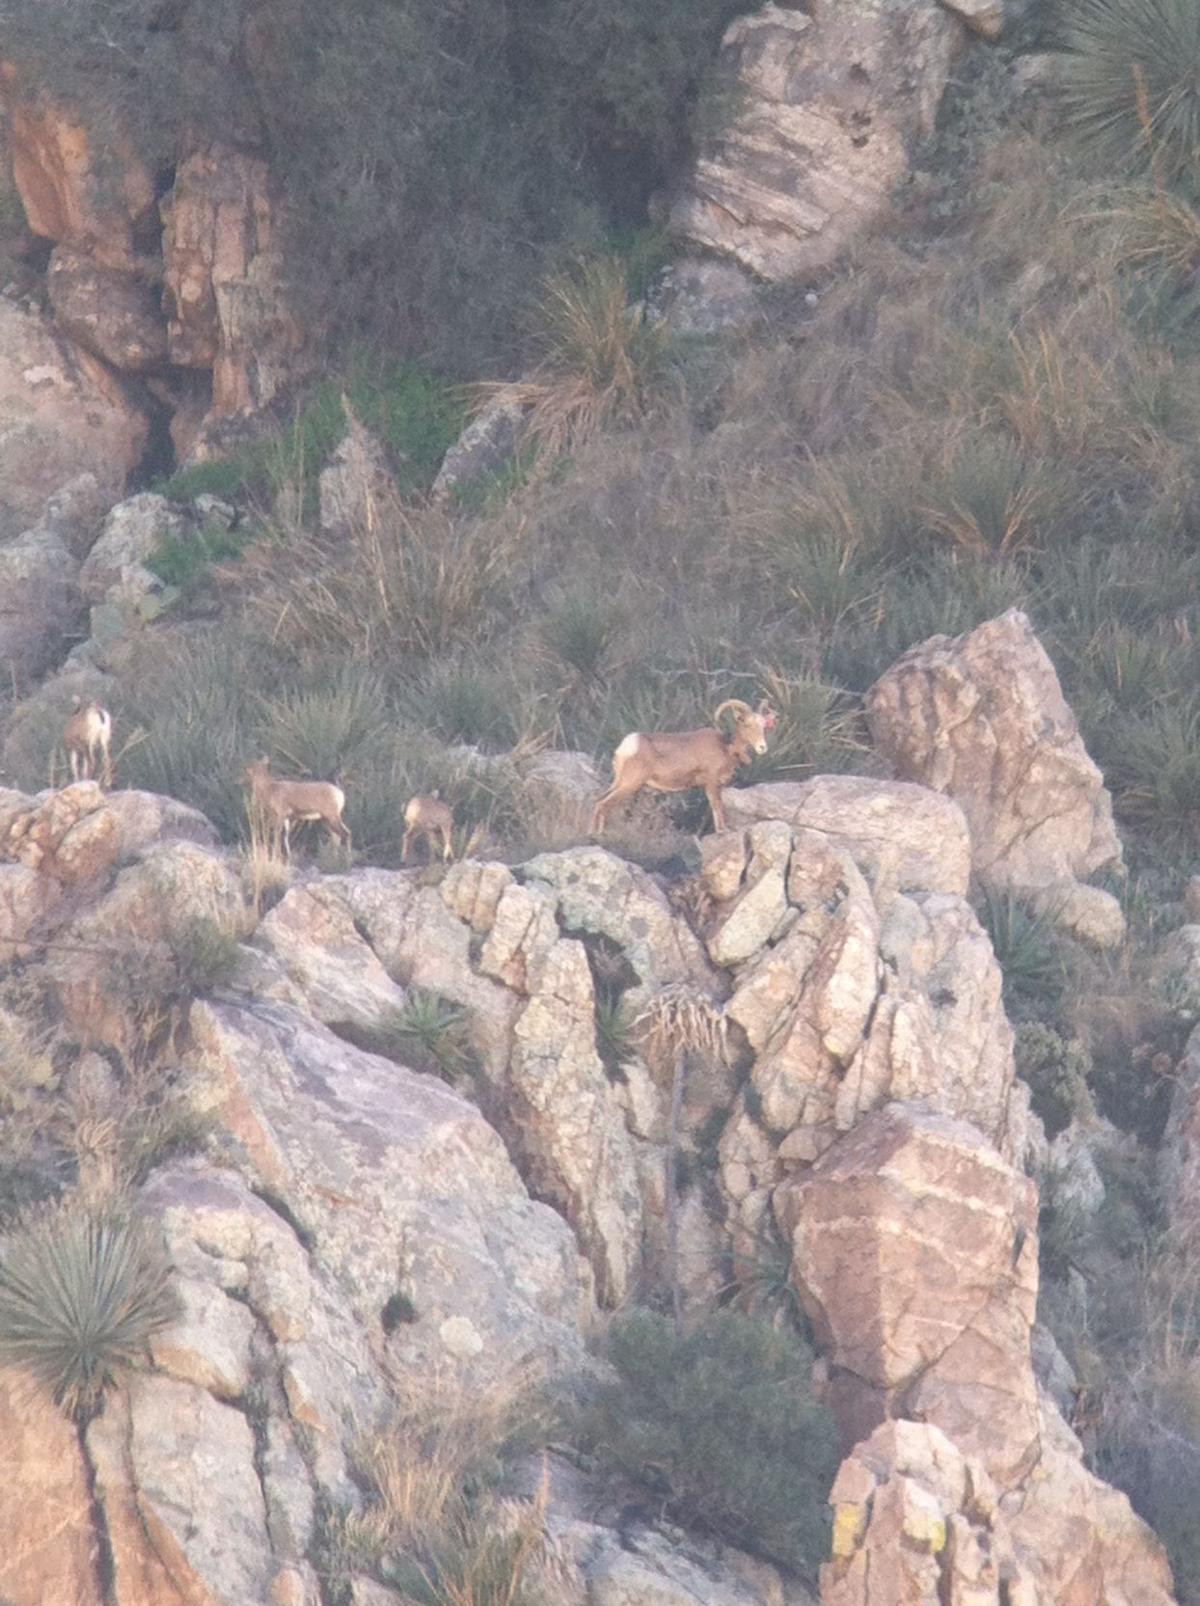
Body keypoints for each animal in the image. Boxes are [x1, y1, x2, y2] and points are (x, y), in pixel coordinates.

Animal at [589, 698, 776, 836]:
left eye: (763, 726)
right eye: (747, 724)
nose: (762, 747)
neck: (726, 748)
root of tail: (628, 745)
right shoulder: (711, 784)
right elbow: (717, 806)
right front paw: (722, 831)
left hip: (619, 782)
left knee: (599, 800)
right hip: (631, 783)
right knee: (604, 804)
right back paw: (598, 834)